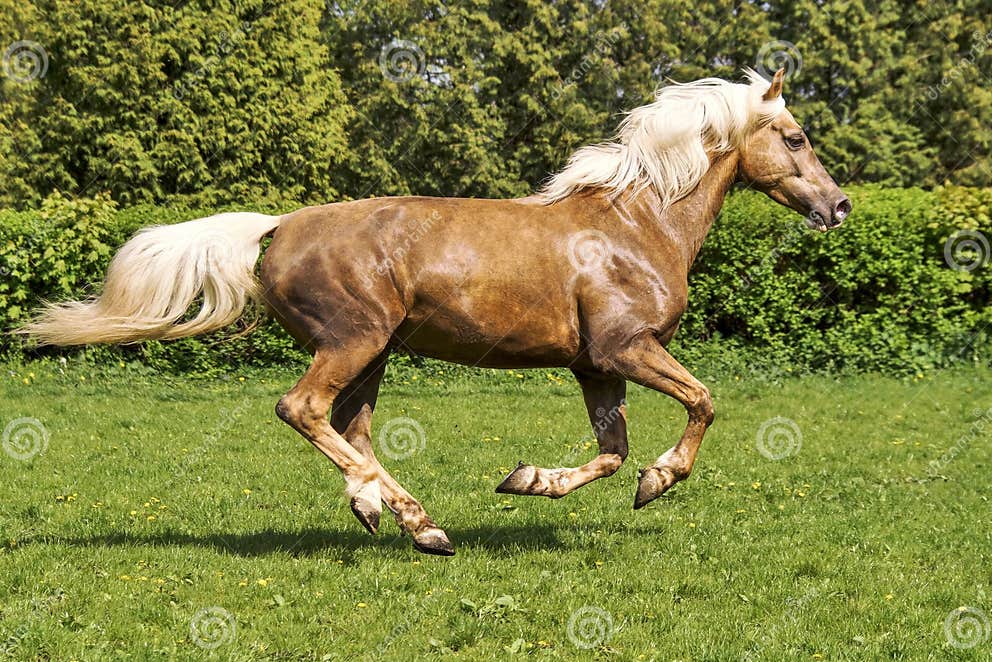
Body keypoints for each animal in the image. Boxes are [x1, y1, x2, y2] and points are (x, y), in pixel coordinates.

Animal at [21, 68, 850, 556]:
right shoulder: (626, 348)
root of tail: (278, 225)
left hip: (373, 354)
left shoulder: (595, 367)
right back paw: (422, 525)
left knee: (348, 427)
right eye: (796, 136)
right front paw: (660, 480)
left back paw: (383, 512)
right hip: (354, 341)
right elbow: (703, 403)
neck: (637, 223)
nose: (839, 206)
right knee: (303, 410)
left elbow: (612, 452)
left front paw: (528, 480)